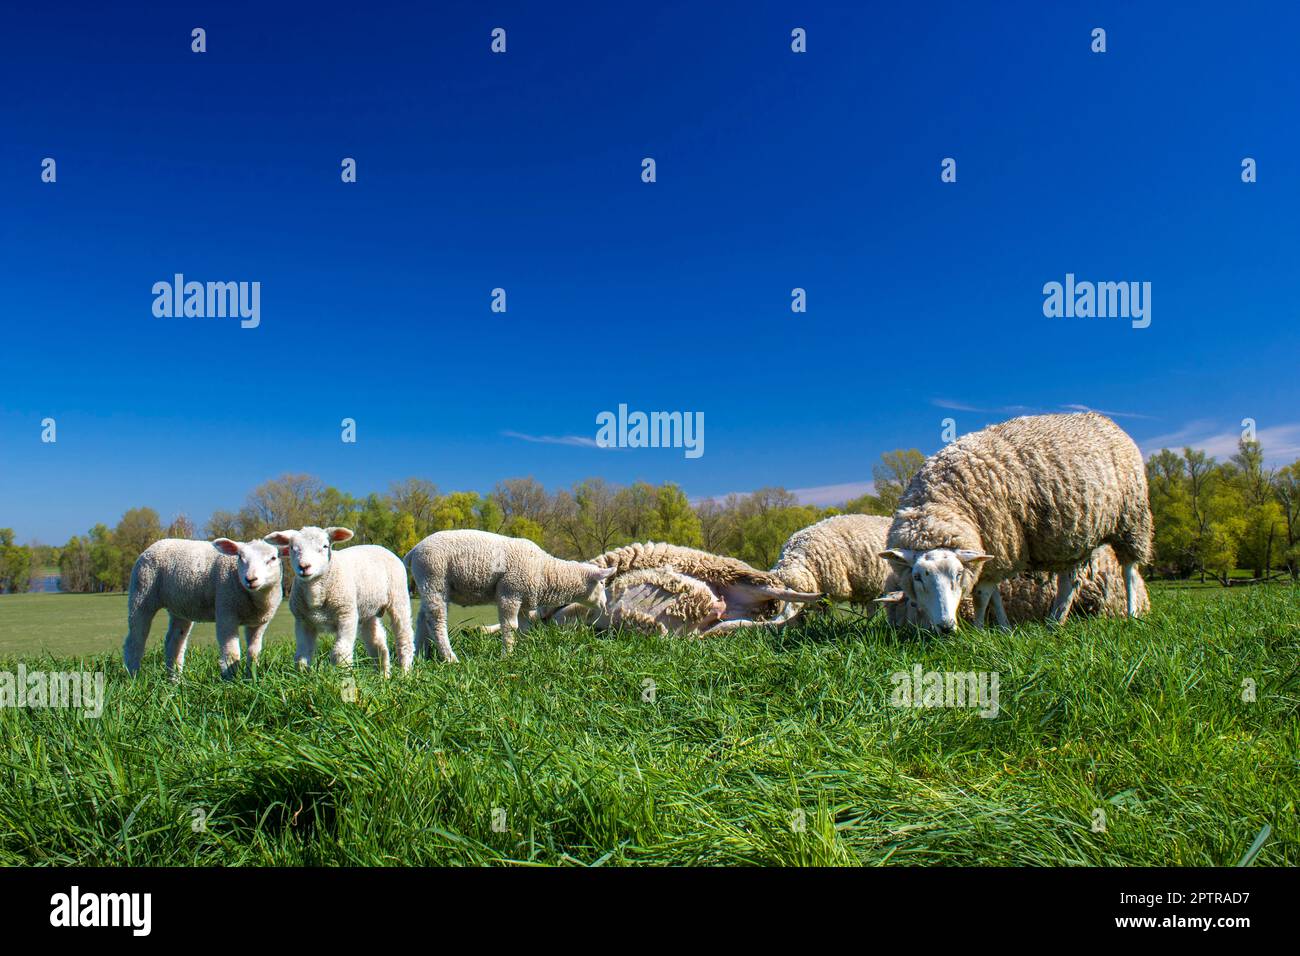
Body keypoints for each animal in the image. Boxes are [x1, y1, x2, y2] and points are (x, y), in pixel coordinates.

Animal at [122, 537, 284, 679]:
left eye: (273, 558)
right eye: (240, 556)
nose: (250, 579)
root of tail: (156, 543)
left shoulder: (259, 623)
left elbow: (254, 652)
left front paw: (251, 678)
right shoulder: (226, 611)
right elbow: (232, 653)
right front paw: (231, 681)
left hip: (180, 607)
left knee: (174, 643)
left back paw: (175, 681)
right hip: (142, 593)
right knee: (135, 641)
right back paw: (134, 677)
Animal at [263, 526, 414, 676]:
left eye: (325, 546)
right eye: (292, 548)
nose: (304, 566)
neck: (316, 594)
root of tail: (379, 546)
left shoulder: (346, 615)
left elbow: (340, 652)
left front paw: (344, 677)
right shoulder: (303, 621)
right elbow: (302, 655)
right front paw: (302, 676)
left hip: (399, 598)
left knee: (404, 638)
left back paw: (405, 672)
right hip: (368, 611)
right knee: (377, 643)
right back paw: (384, 676)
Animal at [404, 529, 616, 661]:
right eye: (602, 583)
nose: (605, 606)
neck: (546, 571)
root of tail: (413, 551)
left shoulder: (525, 600)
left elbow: (525, 628)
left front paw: (525, 652)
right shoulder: (510, 592)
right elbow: (510, 626)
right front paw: (507, 655)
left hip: (428, 585)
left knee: (423, 618)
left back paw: (420, 654)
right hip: (435, 580)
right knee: (437, 621)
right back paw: (450, 658)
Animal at [881, 412, 1154, 632]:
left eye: (958, 574)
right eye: (918, 577)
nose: (946, 627)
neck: (941, 501)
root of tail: (1106, 420)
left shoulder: (999, 545)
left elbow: (982, 595)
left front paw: (980, 630)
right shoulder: (993, 554)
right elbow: (994, 595)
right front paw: (1003, 627)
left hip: (1132, 517)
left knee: (1129, 570)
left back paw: (1132, 614)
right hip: (1074, 538)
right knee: (1069, 581)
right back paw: (1054, 622)